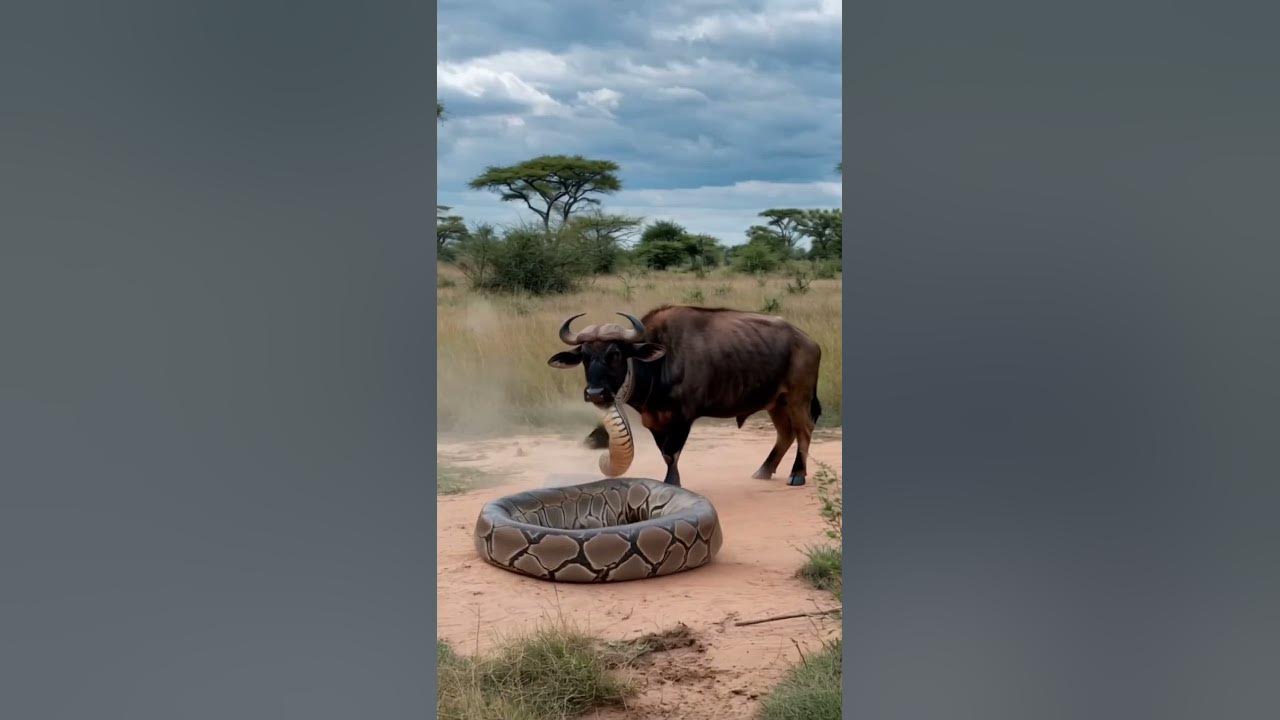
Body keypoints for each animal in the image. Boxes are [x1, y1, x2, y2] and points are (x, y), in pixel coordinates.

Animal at [546, 305, 822, 487]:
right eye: (584, 356)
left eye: (614, 353)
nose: (595, 393)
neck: (660, 363)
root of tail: (809, 342)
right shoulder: (654, 421)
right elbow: (664, 453)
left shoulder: (683, 418)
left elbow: (672, 453)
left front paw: (672, 482)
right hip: (775, 403)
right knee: (785, 434)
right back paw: (764, 470)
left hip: (798, 398)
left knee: (804, 430)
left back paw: (797, 474)